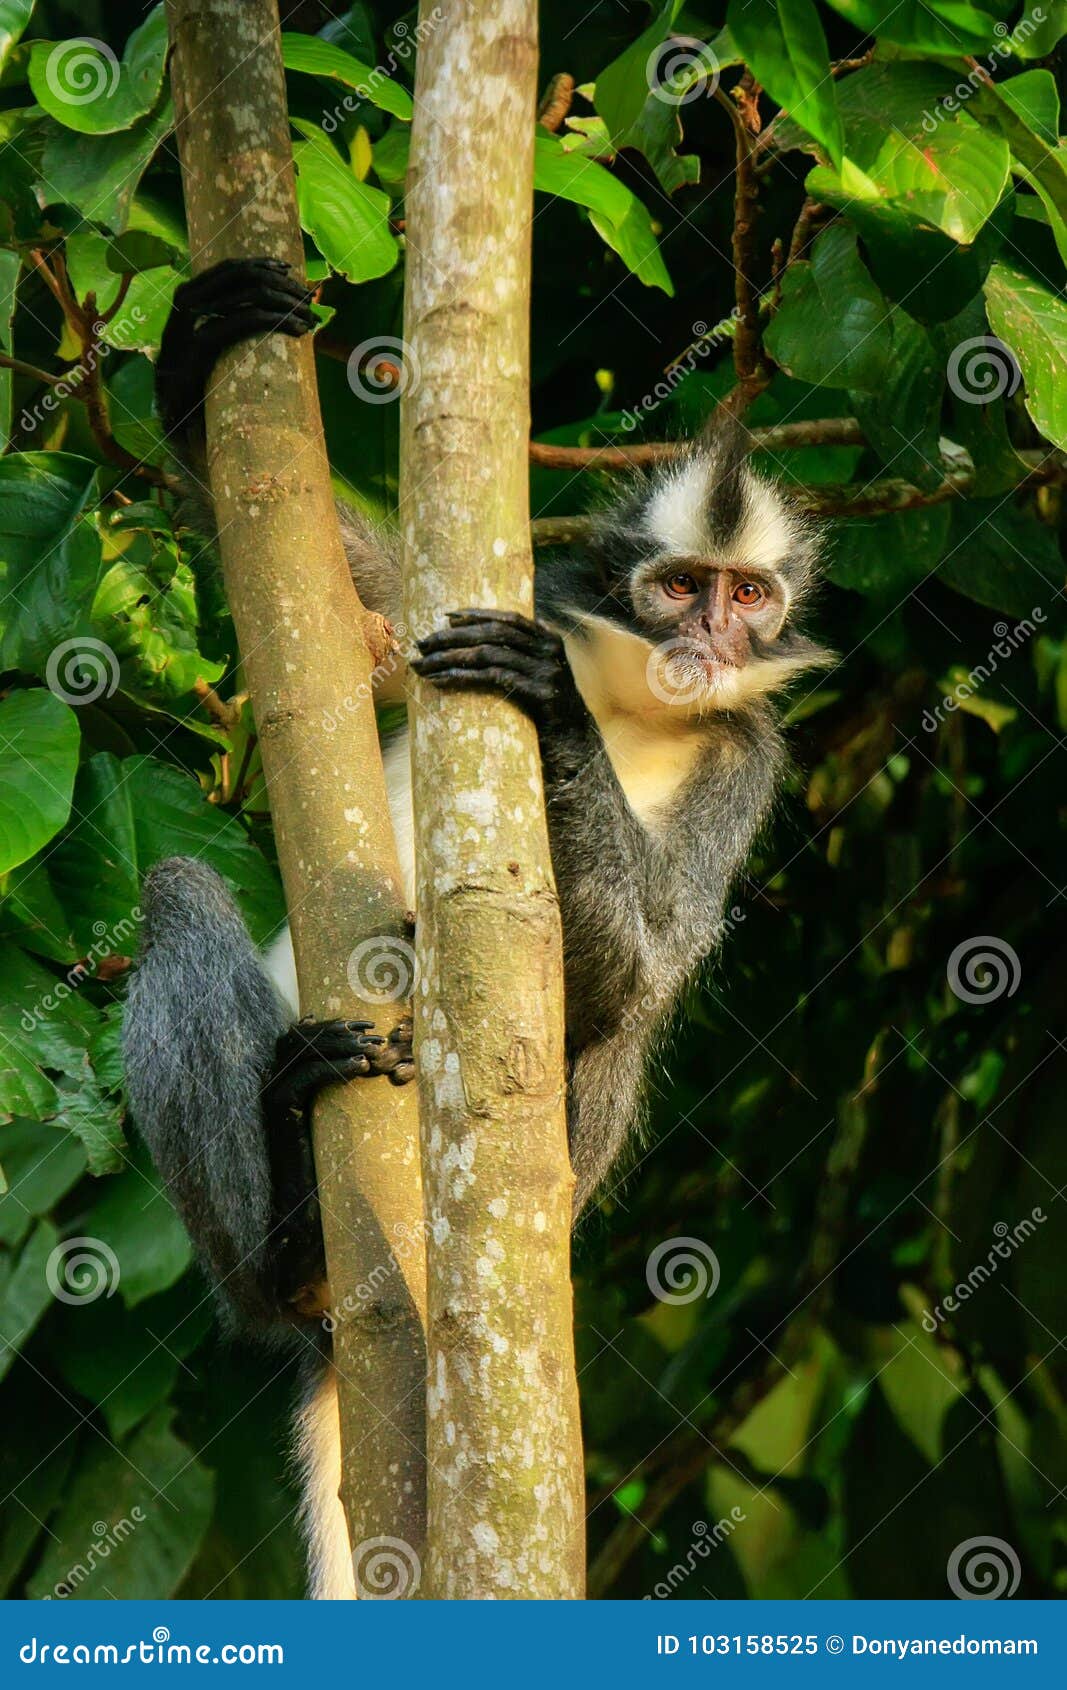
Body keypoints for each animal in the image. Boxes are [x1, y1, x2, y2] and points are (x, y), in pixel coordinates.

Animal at [121, 257, 832, 1598]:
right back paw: (284, 1228)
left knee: (627, 1025)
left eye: (748, 597)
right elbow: (338, 616)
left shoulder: (748, 756)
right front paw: (192, 357)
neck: (637, 702)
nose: (709, 636)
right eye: (678, 587)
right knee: (179, 890)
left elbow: (646, 968)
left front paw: (550, 707)